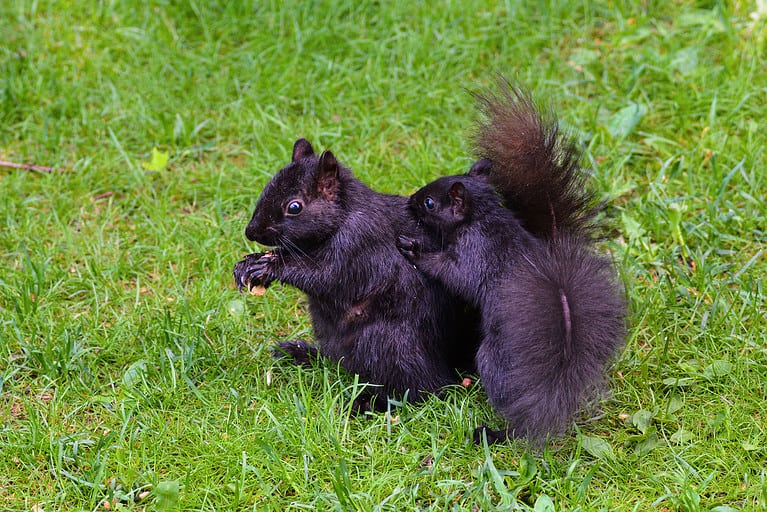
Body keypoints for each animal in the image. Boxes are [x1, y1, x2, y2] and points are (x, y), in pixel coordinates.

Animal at [233, 138, 480, 411]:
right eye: (267, 187)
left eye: (294, 207)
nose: (251, 231)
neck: (343, 216)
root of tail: (450, 361)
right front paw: (250, 263)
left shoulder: (358, 242)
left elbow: (324, 275)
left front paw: (269, 267)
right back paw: (303, 354)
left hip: (388, 343)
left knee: (423, 390)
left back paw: (369, 403)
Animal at [396, 82, 626, 444]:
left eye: (430, 202)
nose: (409, 201)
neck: (480, 216)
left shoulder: (475, 253)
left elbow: (453, 273)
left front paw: (414, 248)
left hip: (492, 359)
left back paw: (496, 432)